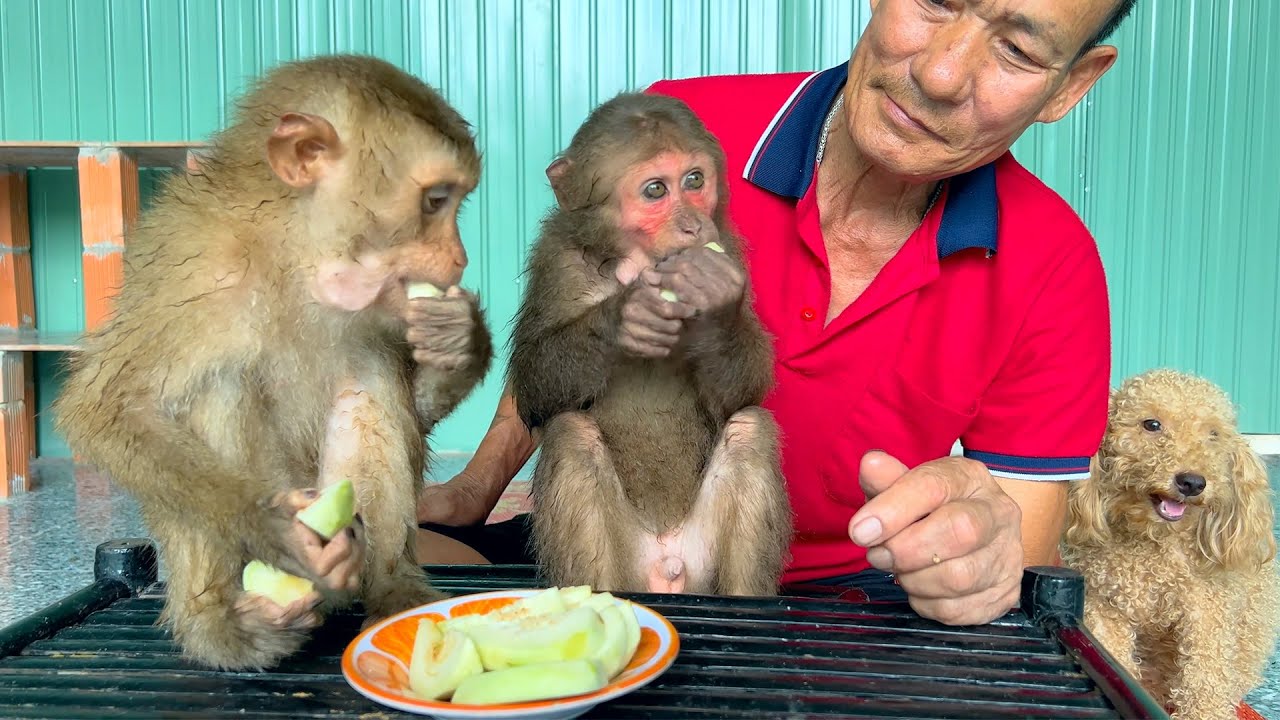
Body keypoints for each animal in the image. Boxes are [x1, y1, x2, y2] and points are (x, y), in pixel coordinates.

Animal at [52, 54, 492, 671]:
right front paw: (274, 527)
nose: (459, 258)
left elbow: (414, 407)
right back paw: (220, 623)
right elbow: (102, 409)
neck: (296, 256)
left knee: (368, 389)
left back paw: (391, 588)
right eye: (436, 200)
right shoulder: (196, 273)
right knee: (218, 385)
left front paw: (459, 339)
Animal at [507, 92, 793, 597]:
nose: (694, 225)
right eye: (656, 190)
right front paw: (625, 315)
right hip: (629, 564)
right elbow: (534, 389)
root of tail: (667, 565)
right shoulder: (559, 259)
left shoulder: (727, 249)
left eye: (695, 180)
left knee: (750, 432)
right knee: (571, 437)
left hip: (701, 564)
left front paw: (716, 309)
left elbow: (740, 395)